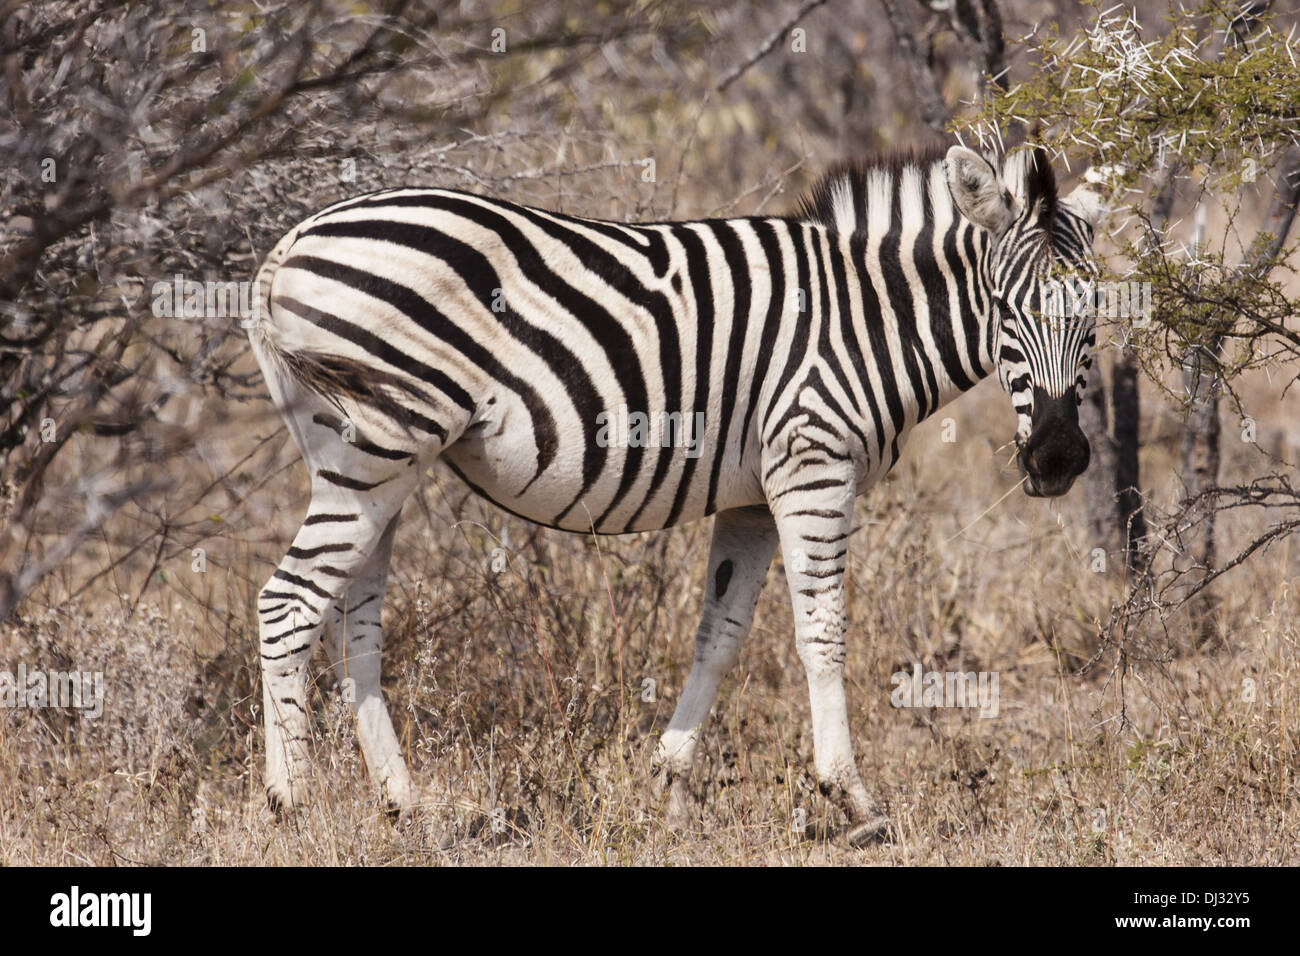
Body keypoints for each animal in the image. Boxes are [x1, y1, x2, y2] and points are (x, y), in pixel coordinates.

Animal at [245, 143, 1101, 845]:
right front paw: (852, 799)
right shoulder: (812, 464)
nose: (1058, 459)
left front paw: (672, 785)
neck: (866, 319)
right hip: (379, 443)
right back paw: (294, 807)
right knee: (289, 603)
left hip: (371, 457)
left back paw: (404, 804)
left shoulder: (753, 498)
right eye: (1006, 310)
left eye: (1096, 315)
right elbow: (823, 632)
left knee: (354, 618)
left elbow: (718, 635)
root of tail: (291, 242)